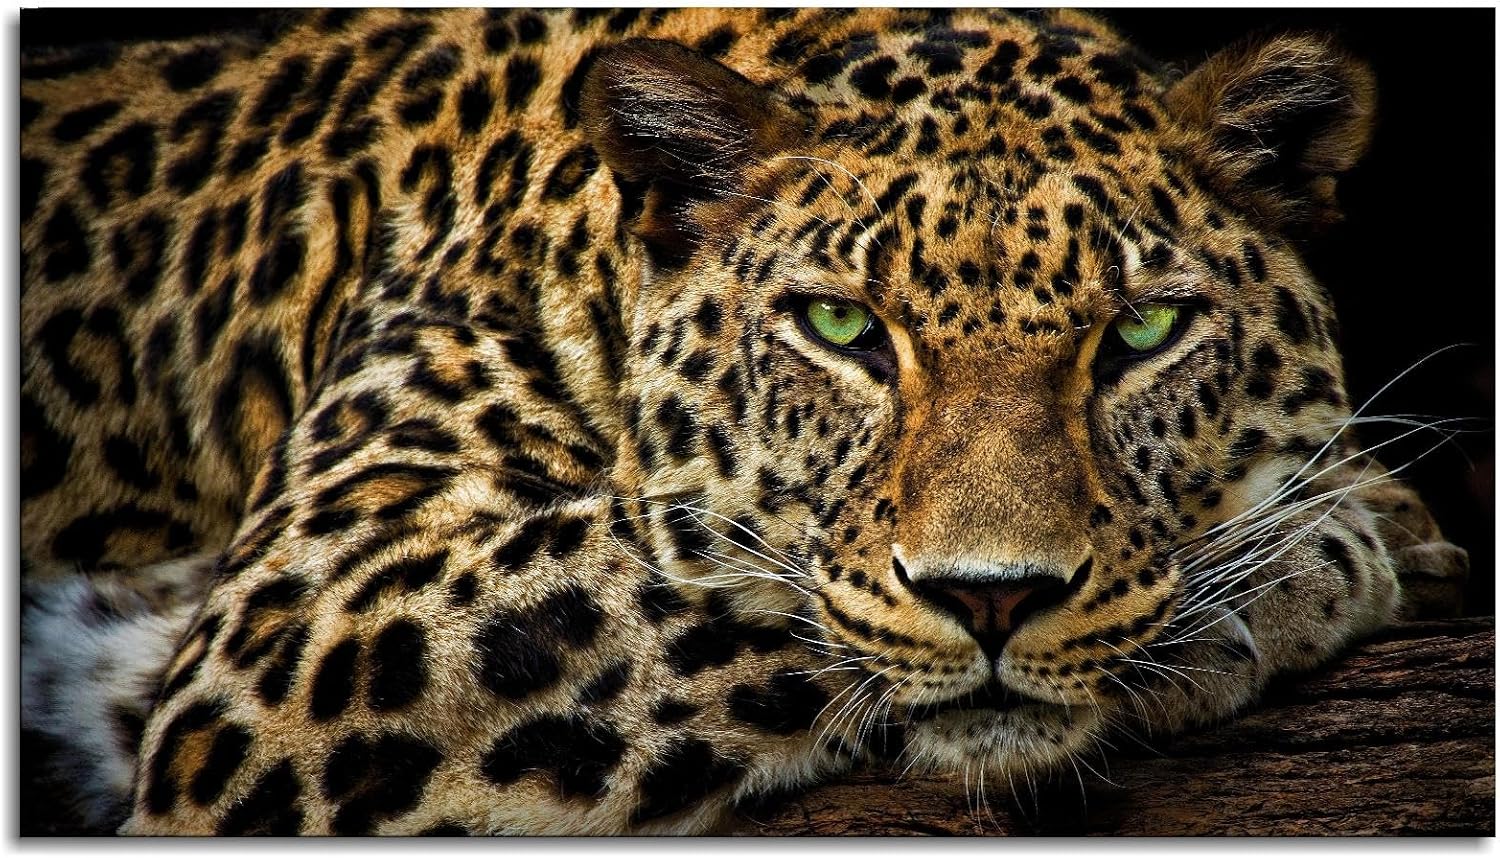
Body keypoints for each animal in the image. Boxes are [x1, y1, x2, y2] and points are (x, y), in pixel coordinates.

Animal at [20, 8, 1471, 836]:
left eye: (1143, 334)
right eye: (841, 328)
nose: (994, 598)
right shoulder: (306, 624)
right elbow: (712, 576)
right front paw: (1318, 547)